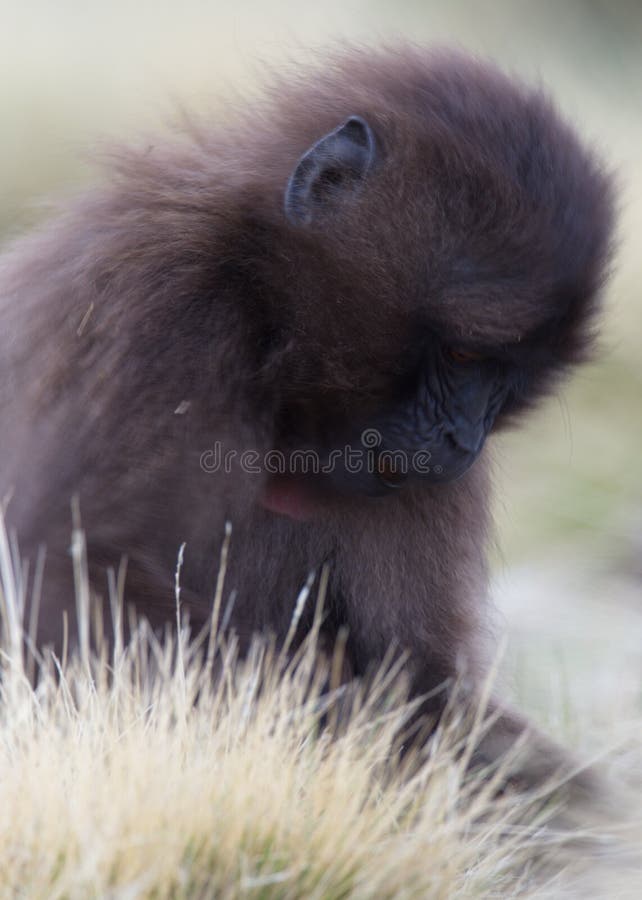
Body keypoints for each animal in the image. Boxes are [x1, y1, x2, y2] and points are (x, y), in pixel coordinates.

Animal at [0, 45, 615, 787]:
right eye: (464, 353)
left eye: (513, 379)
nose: (461, 440)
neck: (269, 325)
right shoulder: (151, 311)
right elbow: (73, 568)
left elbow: (421, 675)